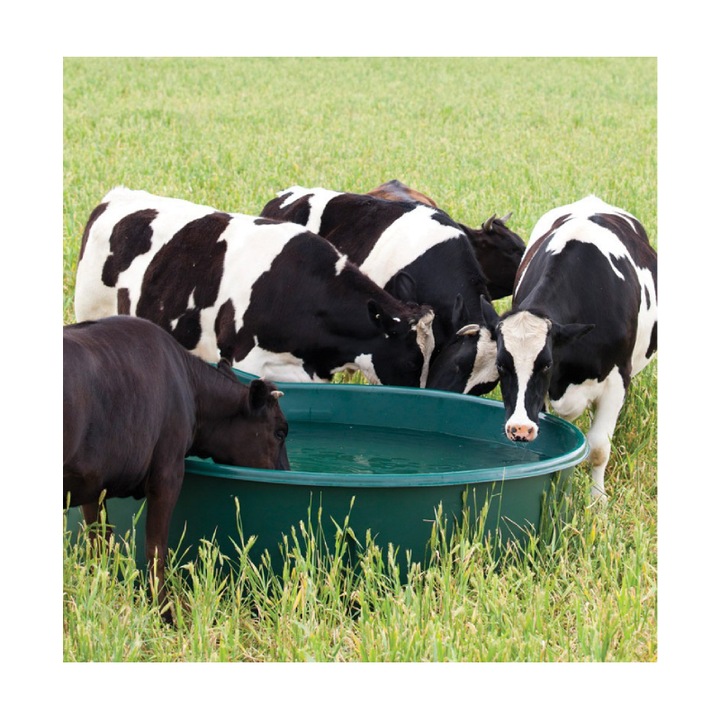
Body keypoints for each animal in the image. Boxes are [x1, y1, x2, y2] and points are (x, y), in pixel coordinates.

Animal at [64, 315, 290, 620]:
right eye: (280, 432)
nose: (285, 473)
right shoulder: (167, 474)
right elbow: (156, 548)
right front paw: (166, 613)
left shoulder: (94, 482)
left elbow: (99, 540)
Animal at [485, 195, 657, 499]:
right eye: (501, 365)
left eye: (546, 365)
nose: (519, 429)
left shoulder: (616, 380)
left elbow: (598, 447)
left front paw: (597, 499)